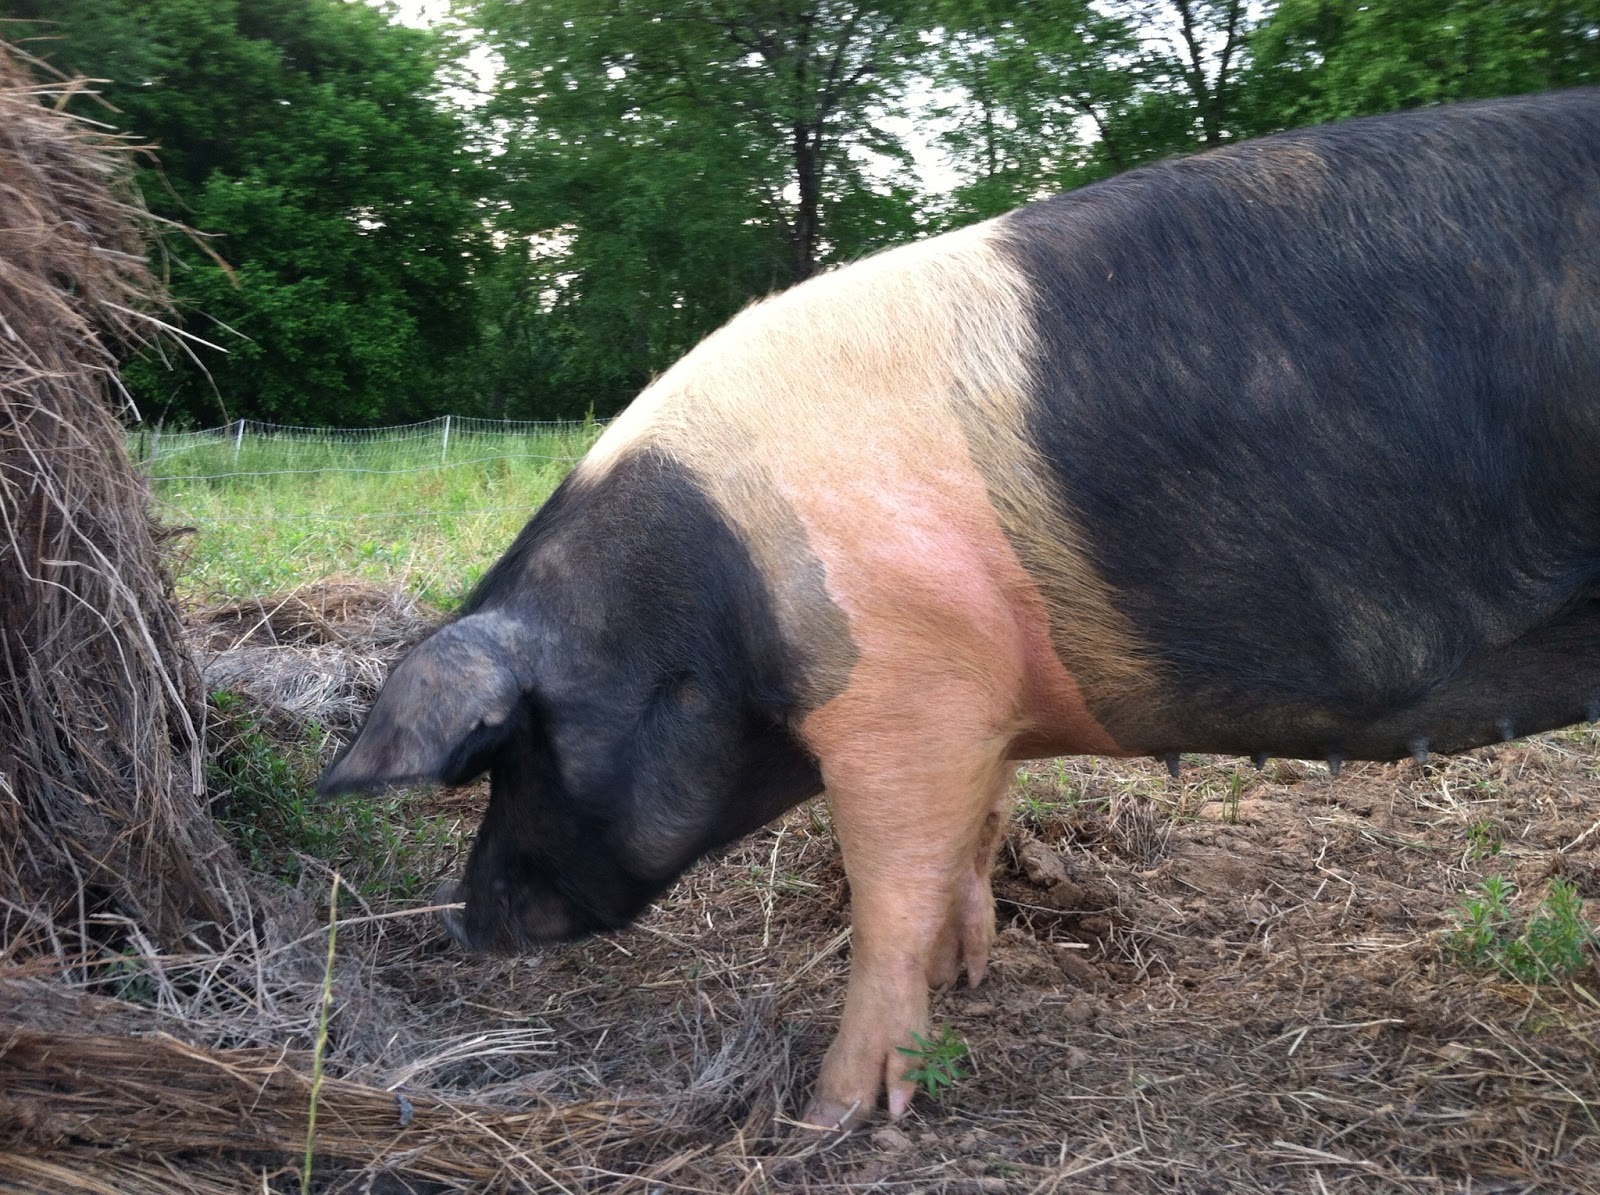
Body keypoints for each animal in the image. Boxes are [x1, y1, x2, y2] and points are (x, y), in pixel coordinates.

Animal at [322, 89, 1600, 1128]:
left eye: (510, 751)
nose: (460, 922)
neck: (711, 596)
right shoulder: (982, 698)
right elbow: (974, 842)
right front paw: (968, 978)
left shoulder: (905, 695)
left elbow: (890, 893)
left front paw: (833, 1117)